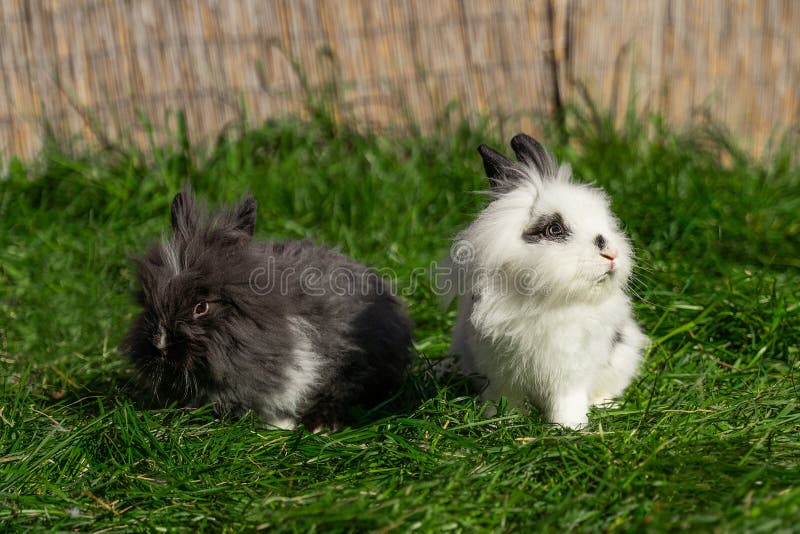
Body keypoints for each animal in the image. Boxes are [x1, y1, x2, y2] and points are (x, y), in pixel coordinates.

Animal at [444, 133, 647, 429]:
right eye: (554, 229)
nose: (611, 254)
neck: (545, 301)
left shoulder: (571, 371)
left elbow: (567, 400)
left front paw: (571, 428)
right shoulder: (500, 372)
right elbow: (506, 398)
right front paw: (502, 421)